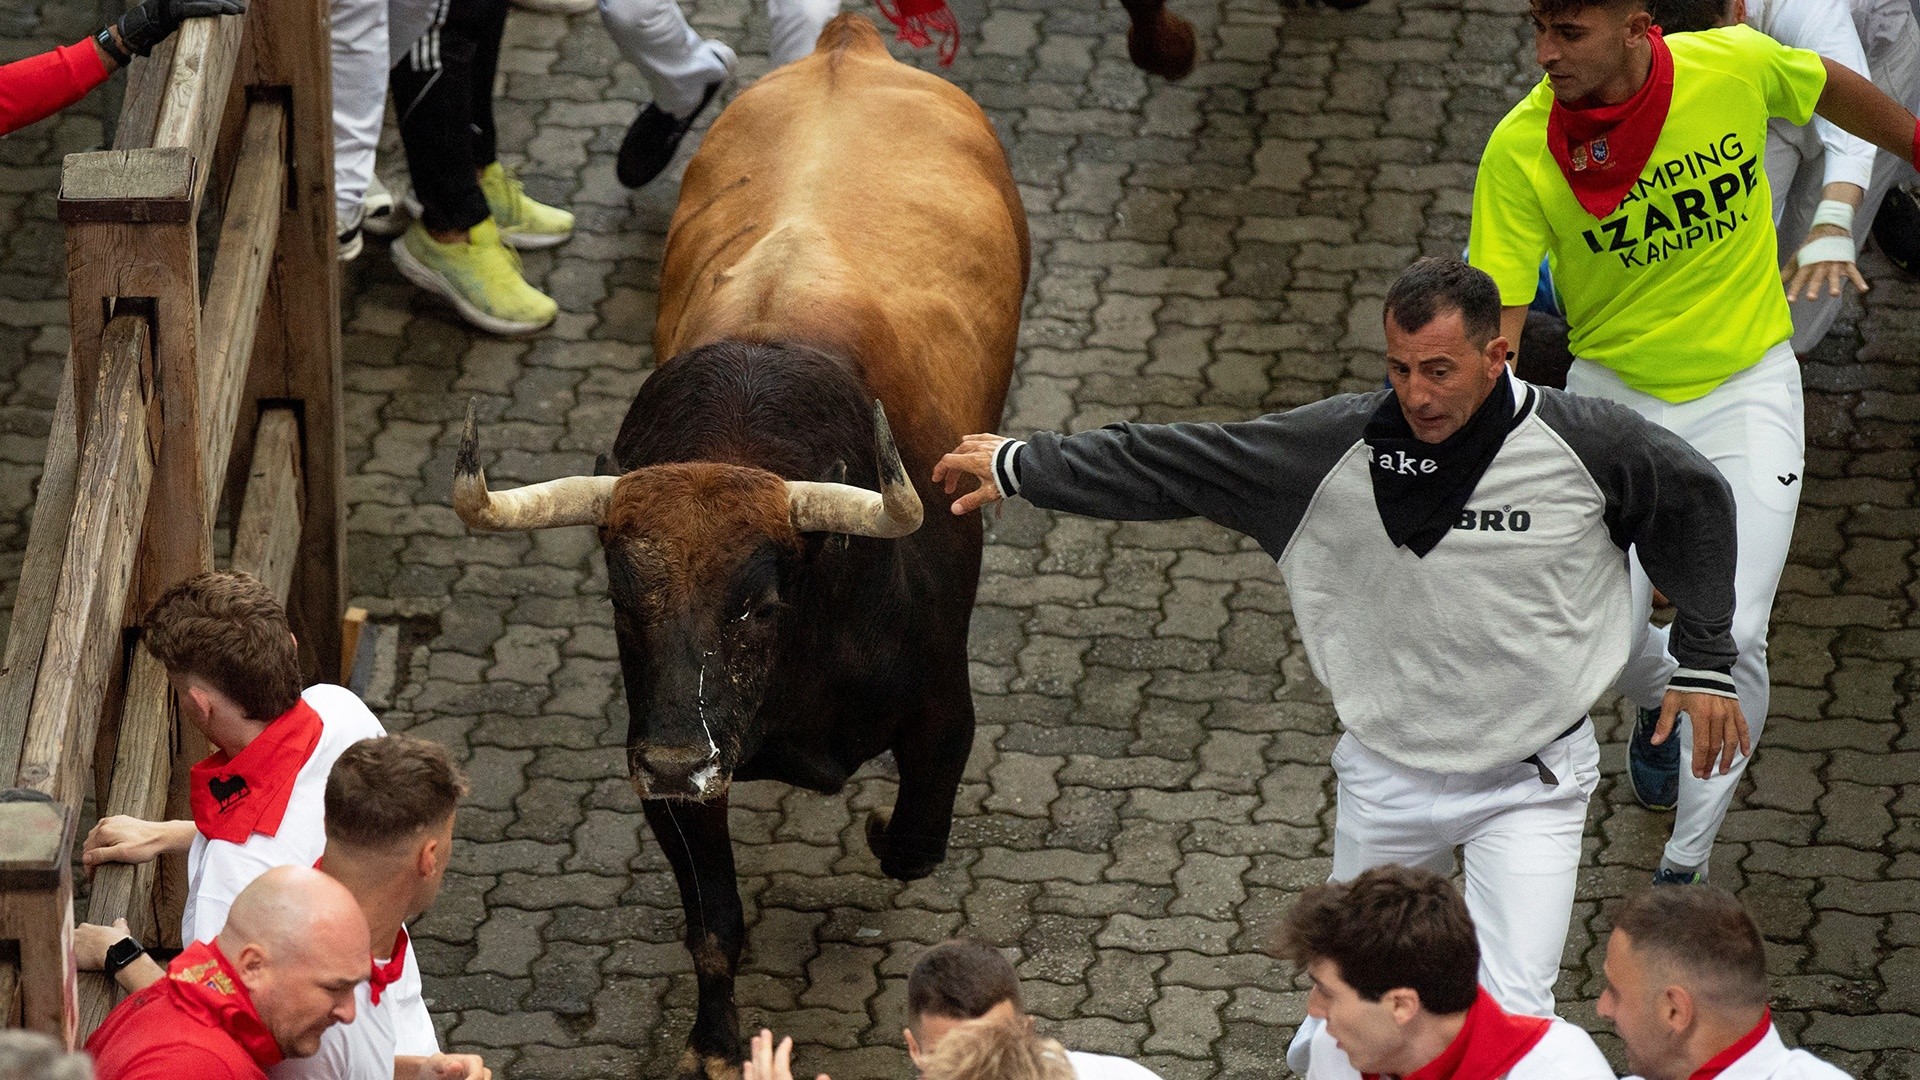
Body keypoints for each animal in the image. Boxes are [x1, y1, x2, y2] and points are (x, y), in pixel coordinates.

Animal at [451, 15, 1028, 1079]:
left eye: (758, 601)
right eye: (622, 600)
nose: (679, 759)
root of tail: (849, 45)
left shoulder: (944, 717)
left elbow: (912, 842)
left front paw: (877, 825)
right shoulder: (666, 765)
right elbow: (713, 922)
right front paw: (716, 1039)